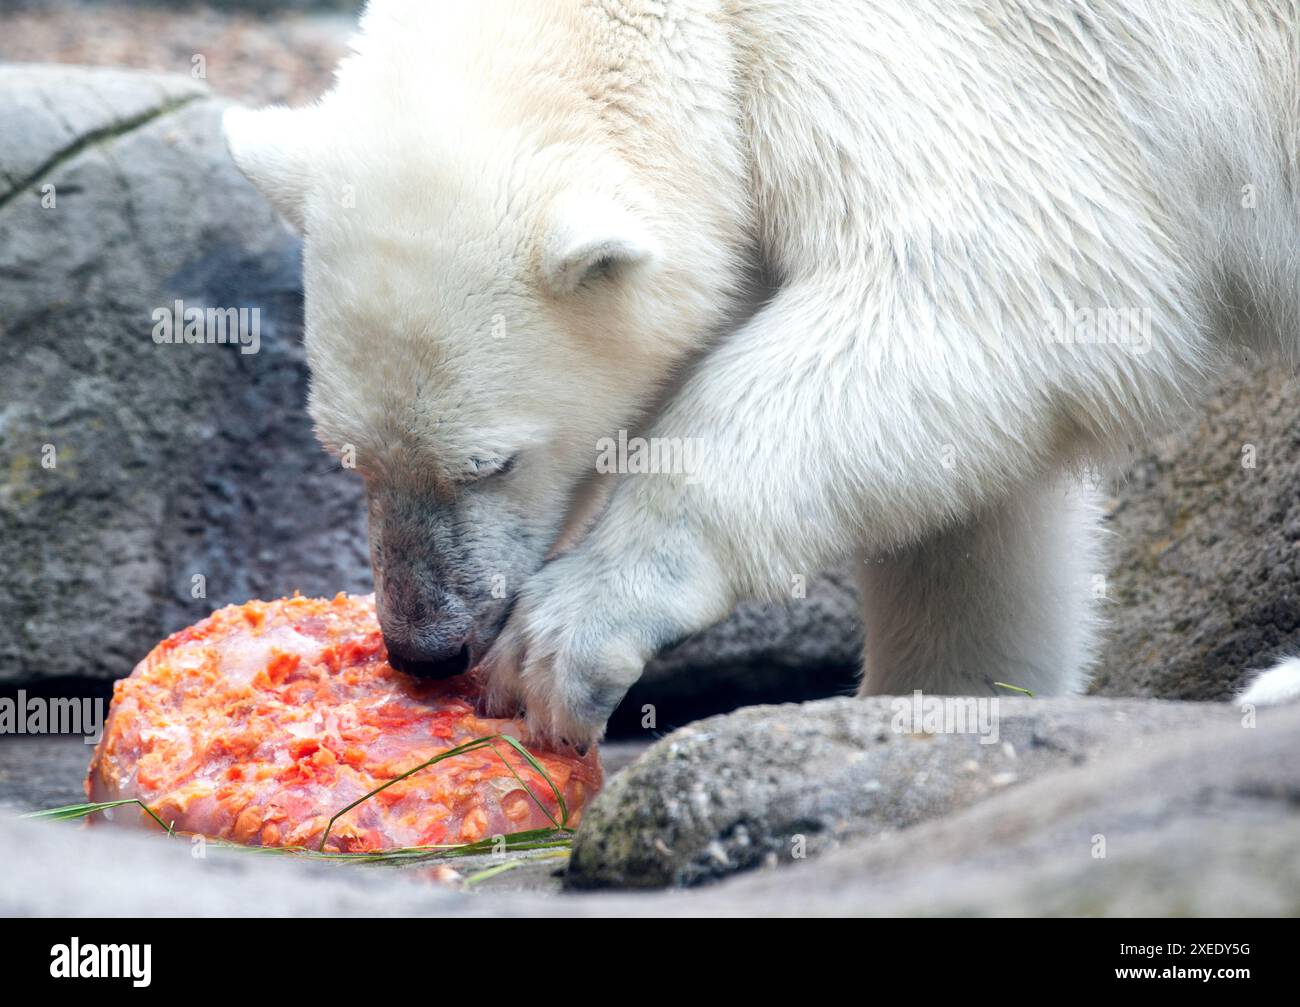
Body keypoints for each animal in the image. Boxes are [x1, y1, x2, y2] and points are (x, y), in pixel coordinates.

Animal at [224, 0, 1300, 746]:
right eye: (348, 455)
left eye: (492, 461)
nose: (427, 645)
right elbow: (975, 503)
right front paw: (940, 699)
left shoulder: (919, 52)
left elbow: (990, 281)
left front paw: (562, 637)